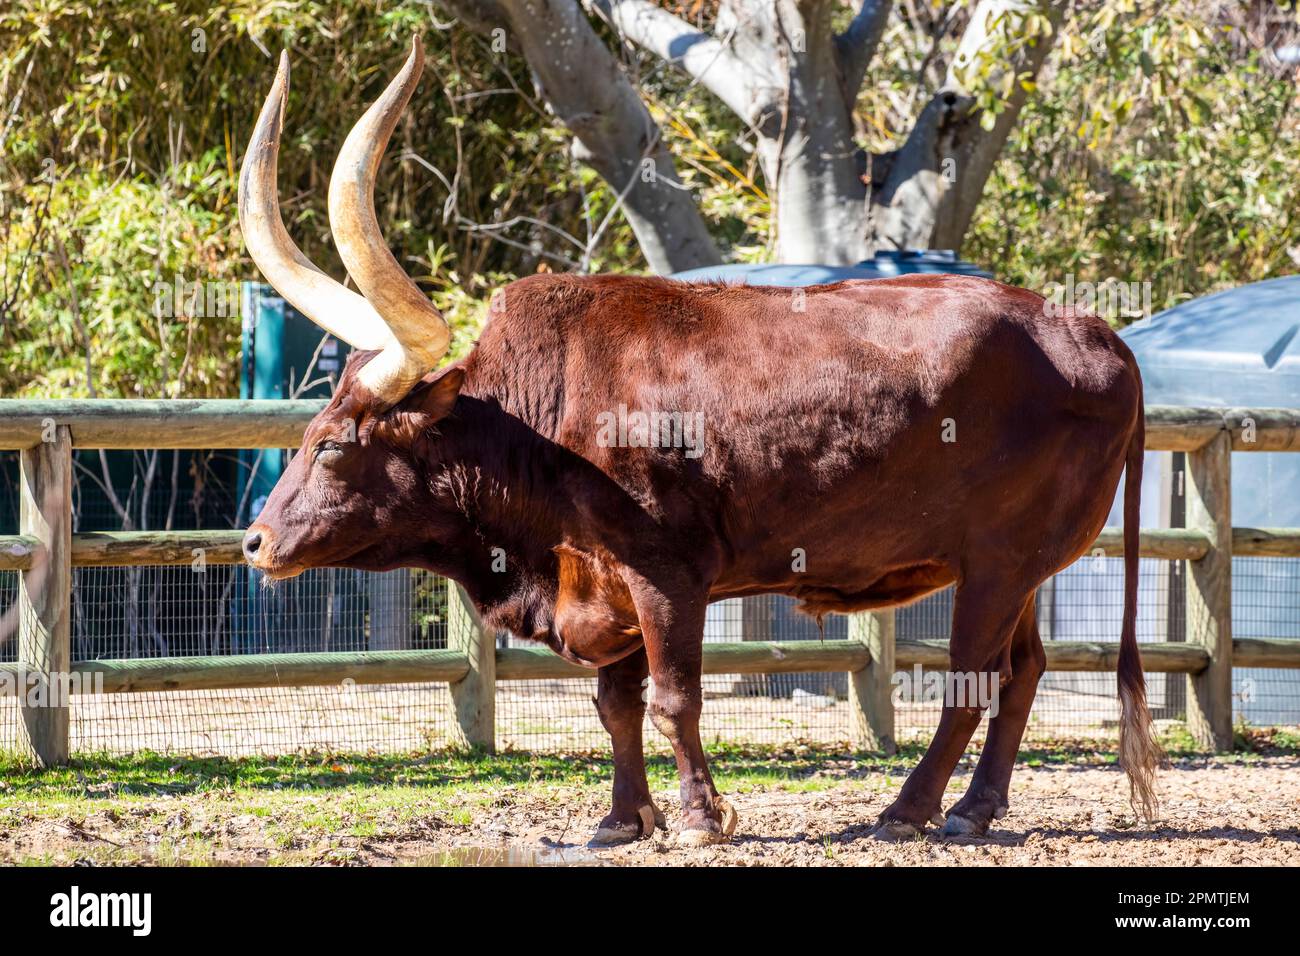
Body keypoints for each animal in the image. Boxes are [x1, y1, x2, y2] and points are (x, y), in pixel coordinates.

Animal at [239, 38, 1160, 847]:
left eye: (332, 445)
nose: (255, 541)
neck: (544, 420)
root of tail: (1096, 335)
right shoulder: (603, 579)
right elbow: (616, 704)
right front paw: (621, 819)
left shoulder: (666, 572)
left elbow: (674, 699)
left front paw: (698, 817)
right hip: (1016, 567)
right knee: (1024, 672)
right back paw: (976, 809)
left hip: (1000, 563)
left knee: (973, 683)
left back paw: (910, 812)